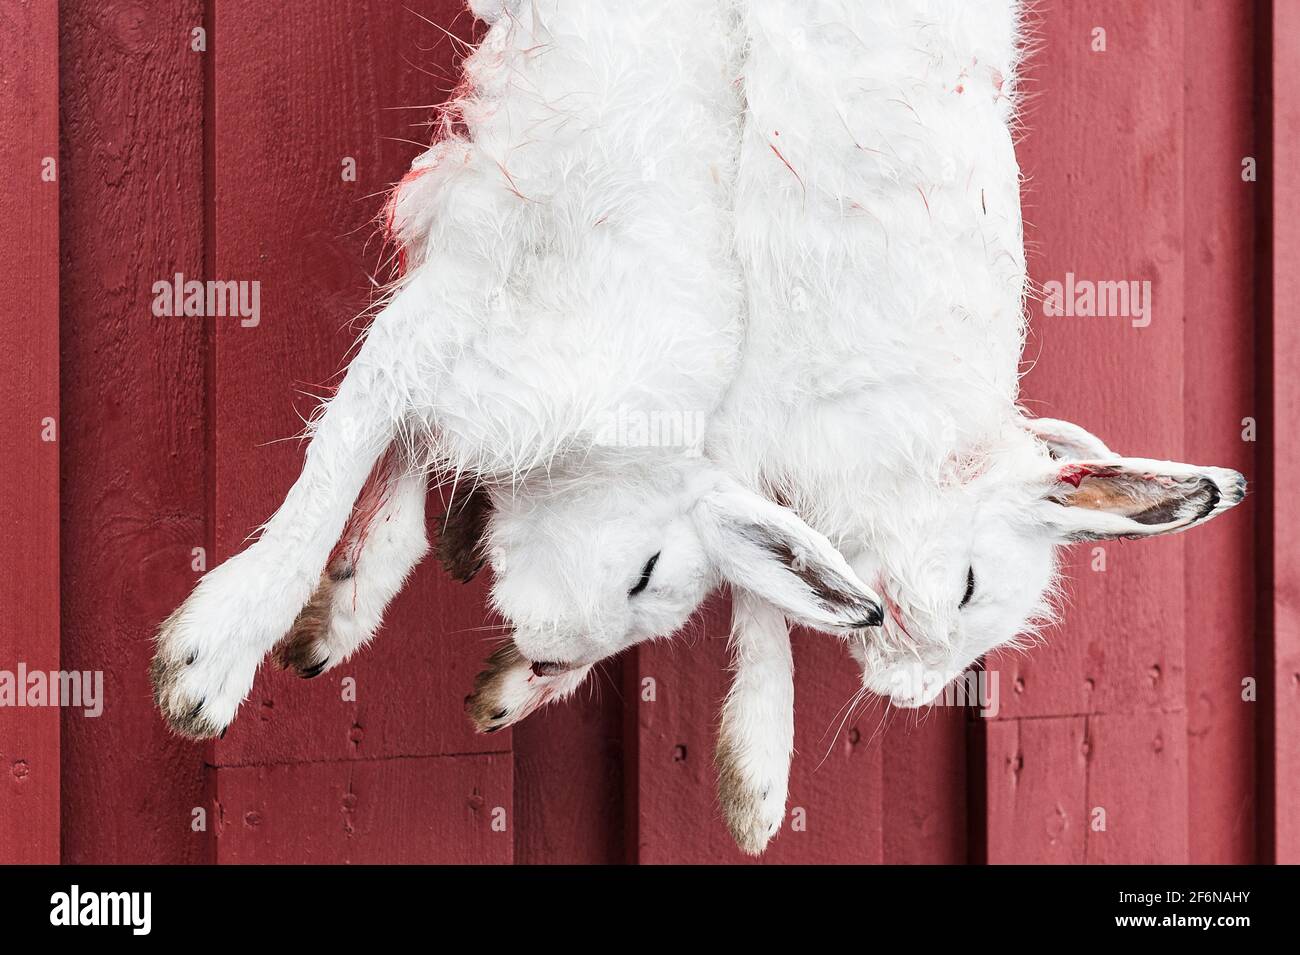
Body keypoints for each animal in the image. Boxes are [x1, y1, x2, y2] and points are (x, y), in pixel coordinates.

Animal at [150, 0, 884, 740]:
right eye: (644, 573)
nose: (551, 654)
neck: (597, 455)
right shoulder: (438, 322)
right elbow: (329, 482)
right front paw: (204, 672)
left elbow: (399, 495)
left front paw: (345, 629)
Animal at [700, 0, 1247, 854]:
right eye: (964, 587)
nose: (907, 692)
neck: (916, 452)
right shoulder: (752, 441)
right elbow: (763, 596)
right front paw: (755, 795)